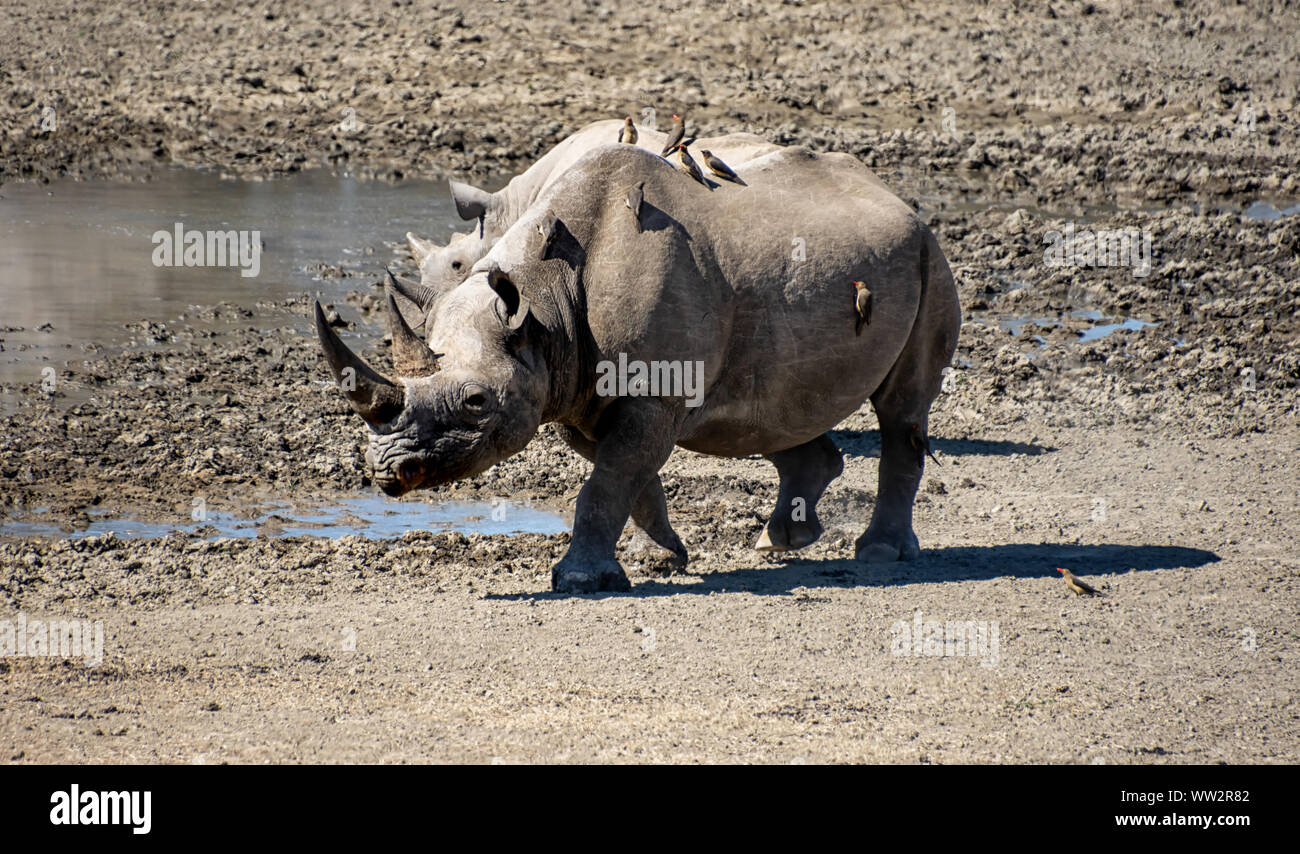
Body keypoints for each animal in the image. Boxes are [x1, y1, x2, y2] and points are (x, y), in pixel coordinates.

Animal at [316, 143, 961, 593]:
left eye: (476, 403)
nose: (386, 470)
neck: (544, 304)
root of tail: (899, 200)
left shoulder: (648, 391)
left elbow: (609, 480)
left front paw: (580, 581)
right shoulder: (576, 389)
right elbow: (627, 476)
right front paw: (664, 556)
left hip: (930, 258)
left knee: (901, 409)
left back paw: (878, 554)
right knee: (770, 409)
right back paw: (781, 540)